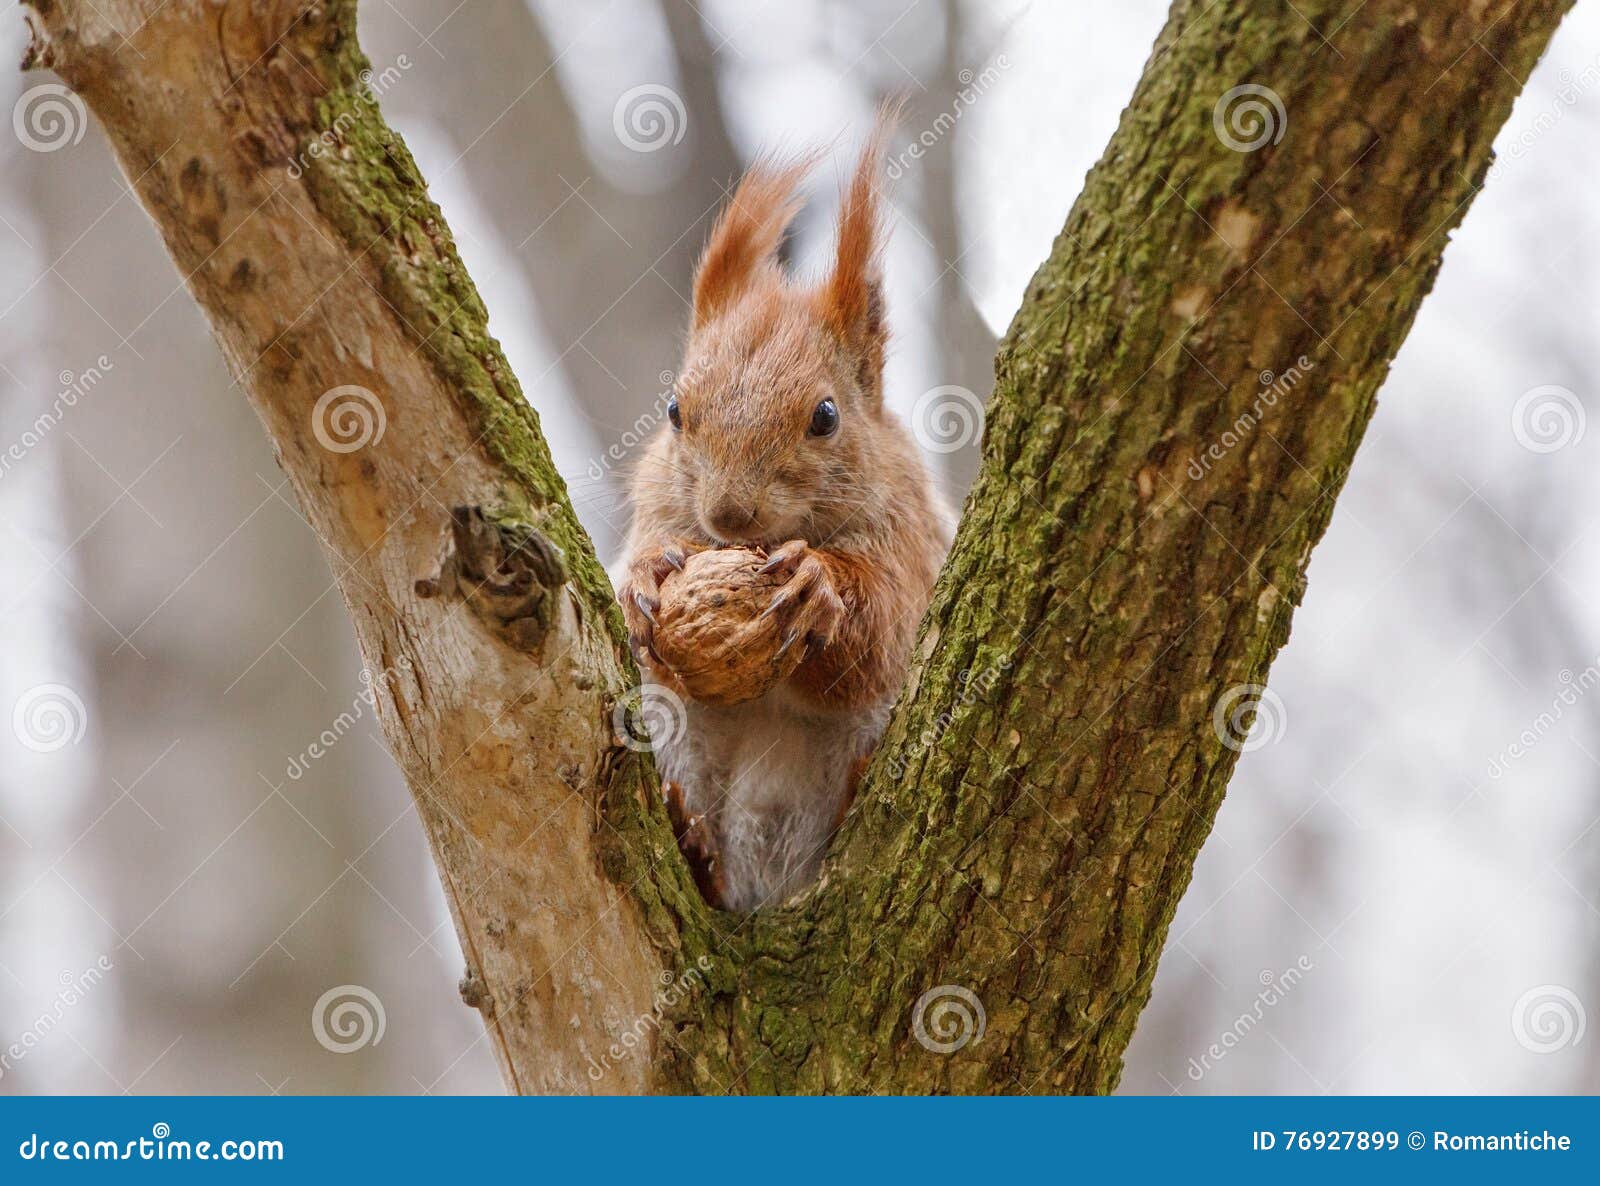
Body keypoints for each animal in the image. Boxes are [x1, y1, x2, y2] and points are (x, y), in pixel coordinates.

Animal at [616, 120, 952, 912]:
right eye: (674, 410)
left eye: (826, 416)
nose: (728, 516)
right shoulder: (657, 504)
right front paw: (648, 576)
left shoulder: (908, 536)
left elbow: (881, 637)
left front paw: (816, 585)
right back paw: (693, 847)